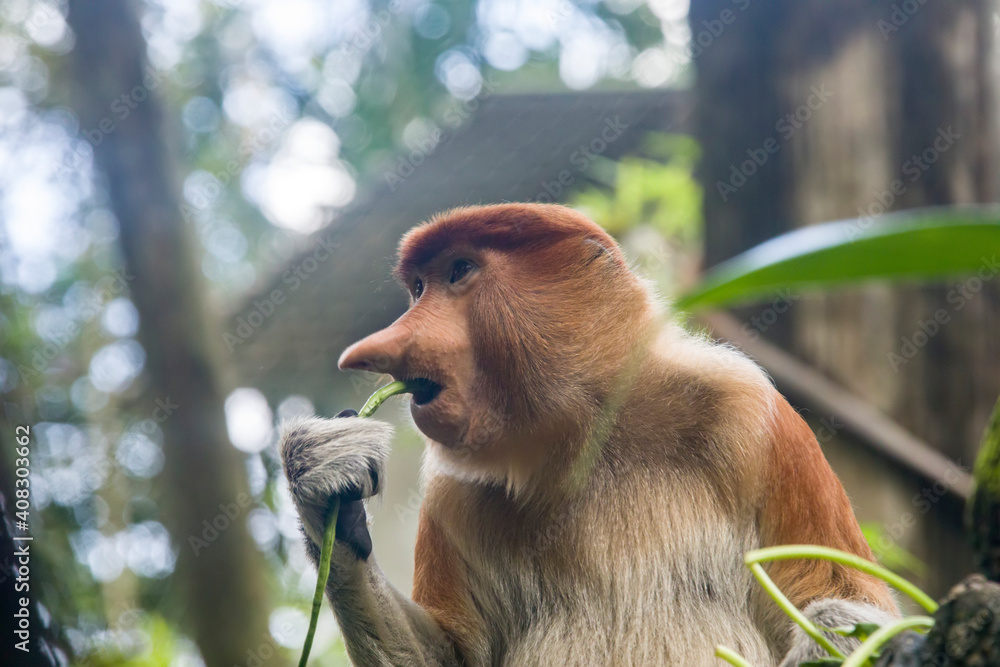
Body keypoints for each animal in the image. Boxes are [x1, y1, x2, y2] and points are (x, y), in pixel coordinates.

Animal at [280, 203, 899, 666]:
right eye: (417, 287)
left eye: (457, 272)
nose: (374, 350)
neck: (594, 436)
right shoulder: (452, 493)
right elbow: (452, 655)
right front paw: (322, 477)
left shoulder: (753, 415)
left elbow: (849, 596)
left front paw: (835, 632)